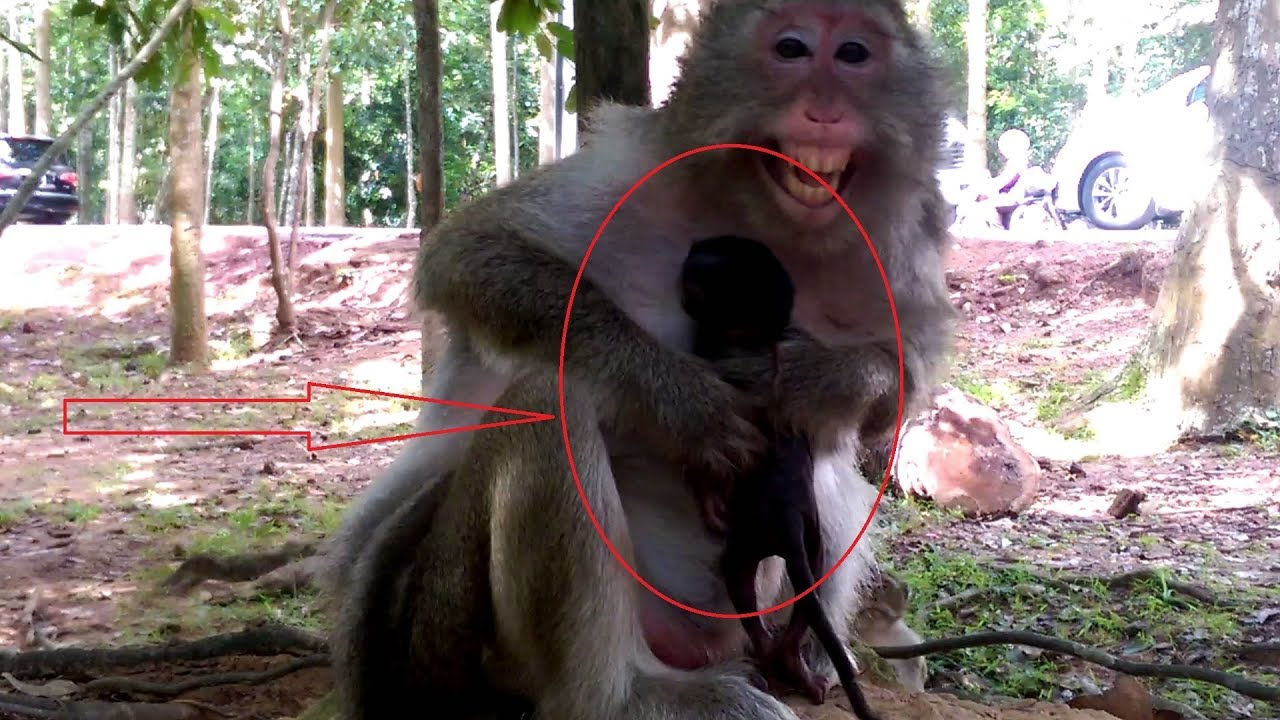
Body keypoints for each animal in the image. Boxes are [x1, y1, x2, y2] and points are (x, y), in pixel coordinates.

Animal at [679, 234, 880, 719]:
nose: (693, 251)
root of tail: (785, 518)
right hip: (810, 547)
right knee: (809, 598)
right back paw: (796, 666)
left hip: (743, 552)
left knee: (746, 603)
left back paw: (773, 660)